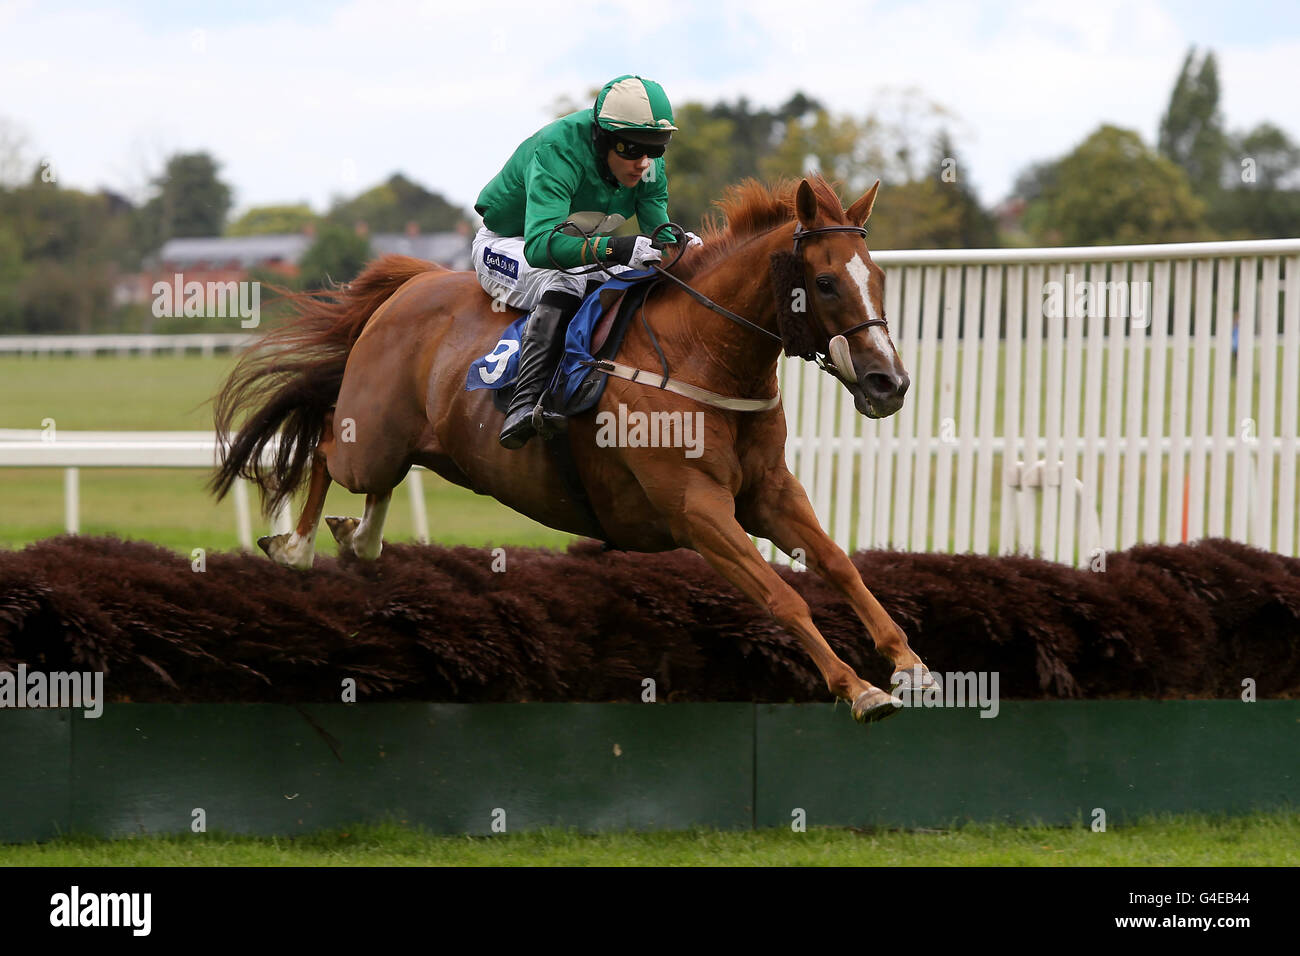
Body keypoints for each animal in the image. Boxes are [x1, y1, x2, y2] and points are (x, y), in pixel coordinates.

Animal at [210, 174, 938, 722]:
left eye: (878, 278)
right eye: (826, 283)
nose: (890, 382)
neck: (705, 355)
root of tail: (410, 283)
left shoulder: (769, 492)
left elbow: (839, 564)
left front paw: (911, 665)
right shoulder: (695, 509)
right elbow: (781, 596)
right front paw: (859, 688)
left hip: (413, 444)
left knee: (371, 479)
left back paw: (359, 539)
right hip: (373, 437)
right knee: (327, 446)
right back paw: (297, 546)